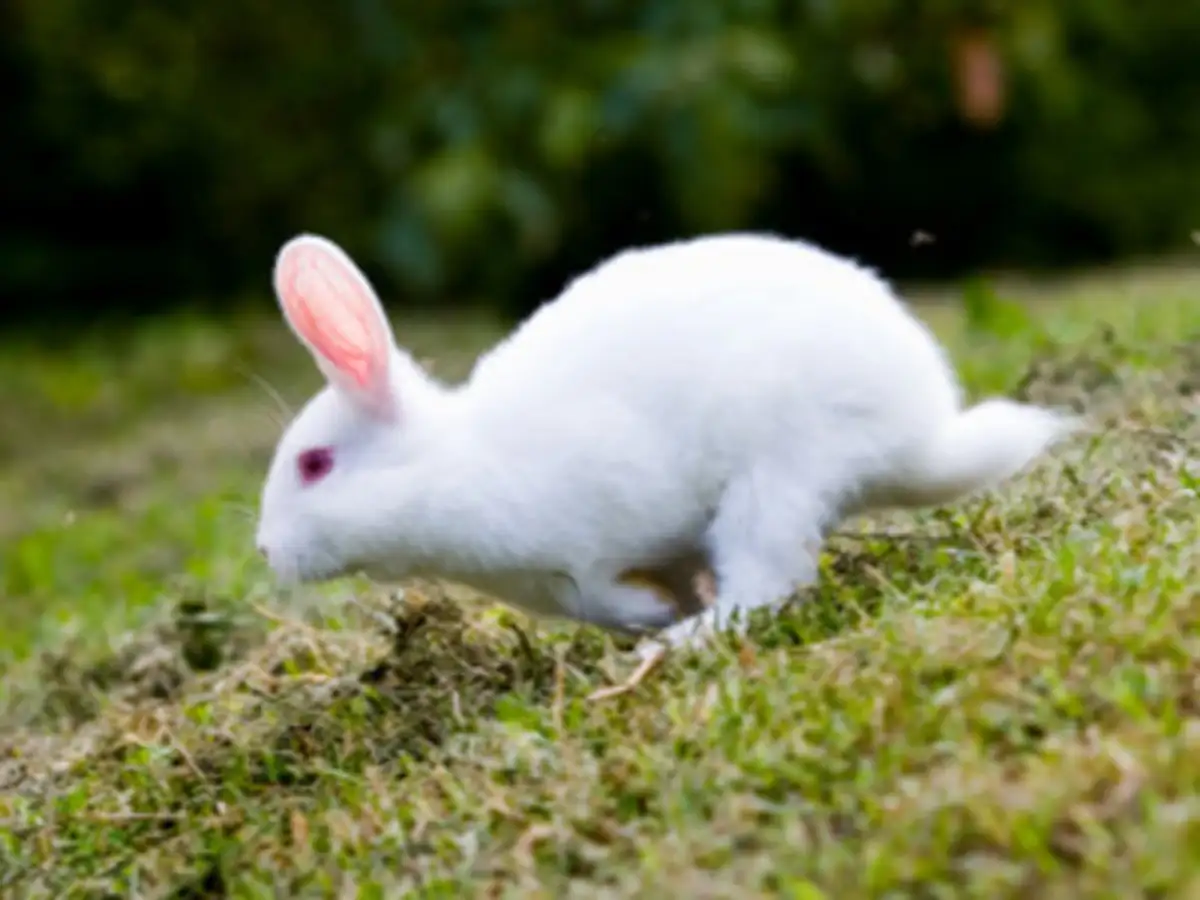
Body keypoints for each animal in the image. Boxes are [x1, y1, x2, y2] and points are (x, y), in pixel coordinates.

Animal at [255, 231, 1079, 658]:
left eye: (315, 464)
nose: (265, 550)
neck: (456, 462)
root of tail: (922, 429)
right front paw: (665, 604)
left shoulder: (587, 548)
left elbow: (605, 594)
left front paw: (652, 615)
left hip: (775, 481)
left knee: (767, 585)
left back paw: (676, 641)